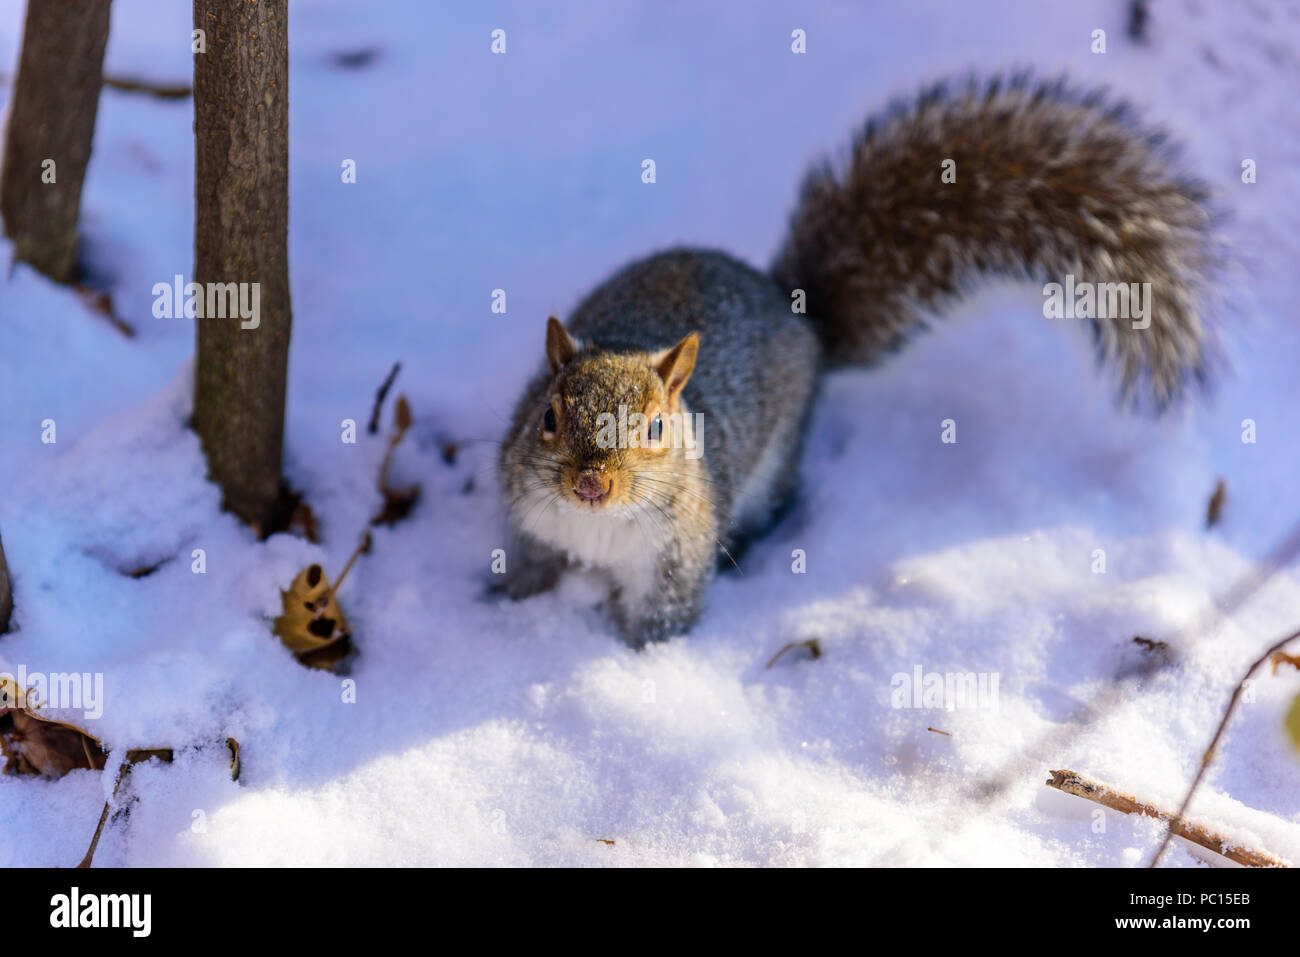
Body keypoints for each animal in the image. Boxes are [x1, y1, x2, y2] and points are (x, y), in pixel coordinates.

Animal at [497, 74, 1221, 648]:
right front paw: (508, 606)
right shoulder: (532, 524)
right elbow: (530, 570)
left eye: (654, 428)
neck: (598, 528)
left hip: (777, 465)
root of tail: (797, 313)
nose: (591, 487)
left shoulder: (676, 559)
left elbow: (660, 621)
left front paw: (637, 663)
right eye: (547, 417)